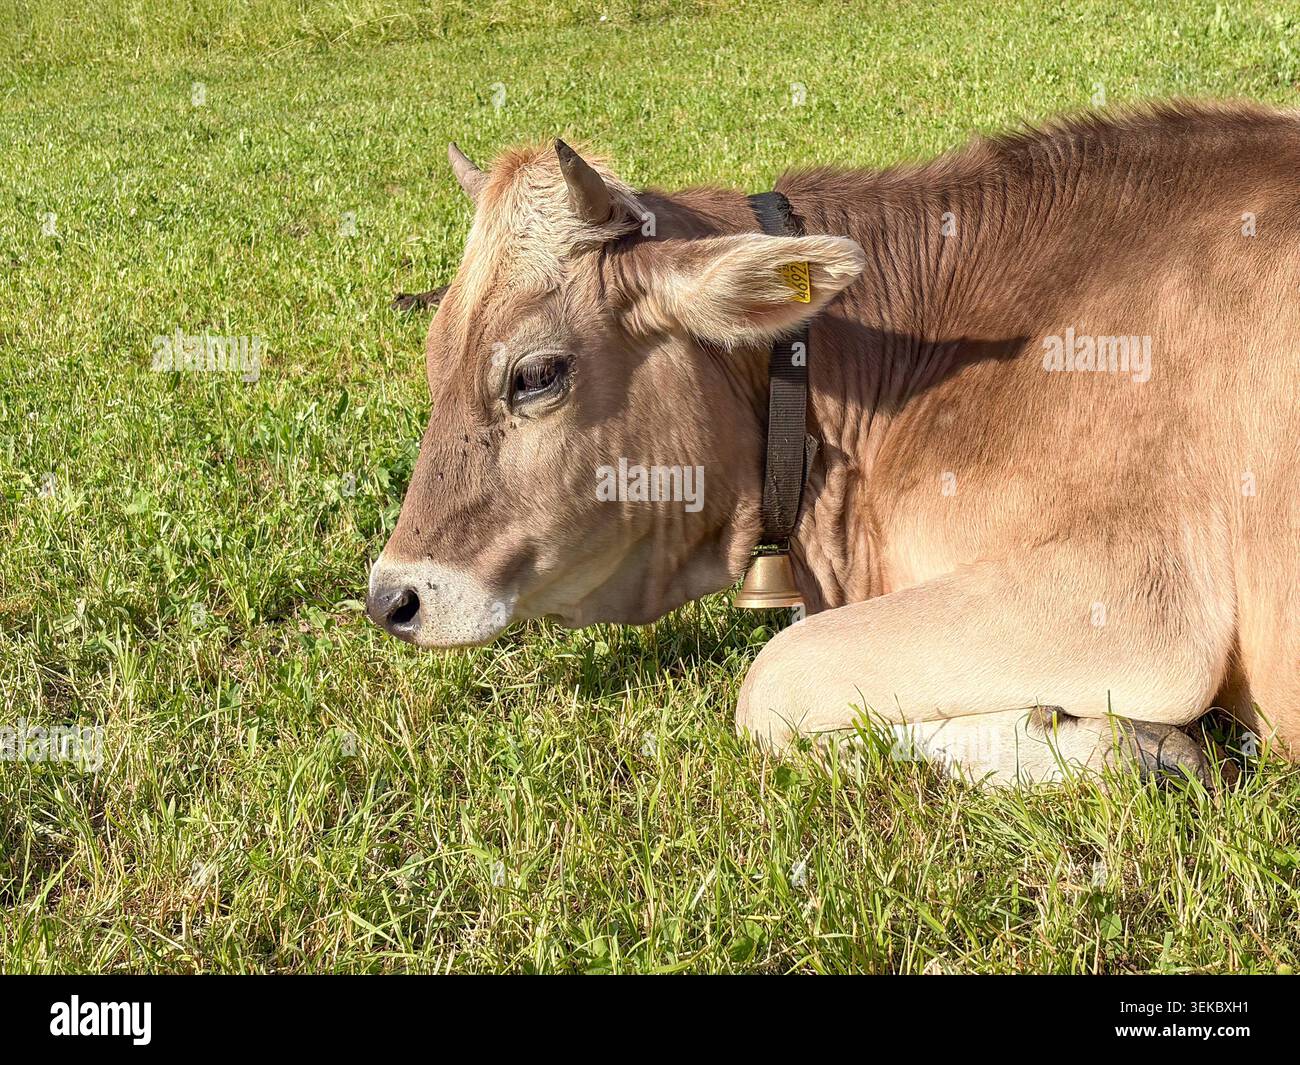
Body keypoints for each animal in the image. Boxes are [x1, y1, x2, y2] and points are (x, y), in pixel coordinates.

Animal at [366, 103, 1300, 784]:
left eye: (535, 374)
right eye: (433, 357)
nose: (392, 598)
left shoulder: (1139, 589)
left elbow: (772, 683)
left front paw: (1128, 746)